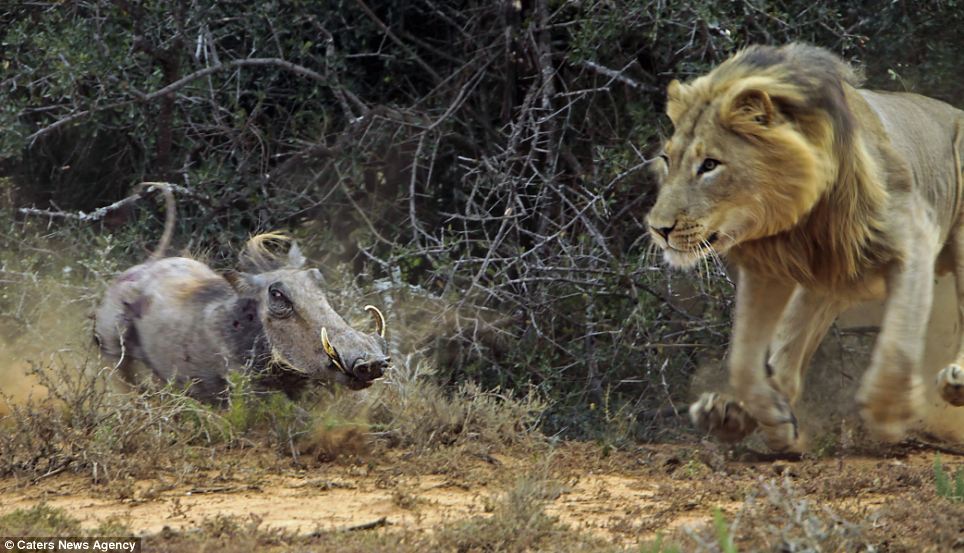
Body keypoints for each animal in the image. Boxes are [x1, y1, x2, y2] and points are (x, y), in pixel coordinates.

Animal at [646, 43, 964, 452]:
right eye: (666, 159)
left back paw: (956, 382)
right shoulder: (767, 269)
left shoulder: (913, 237)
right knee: (786, 352)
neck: (798, 220)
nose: (658, 229)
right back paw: (729, 415)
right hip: (829, 281)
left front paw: (888, 415)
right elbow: (743, 360)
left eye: (710, 164)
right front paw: (775, 421)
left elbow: (898, 343)